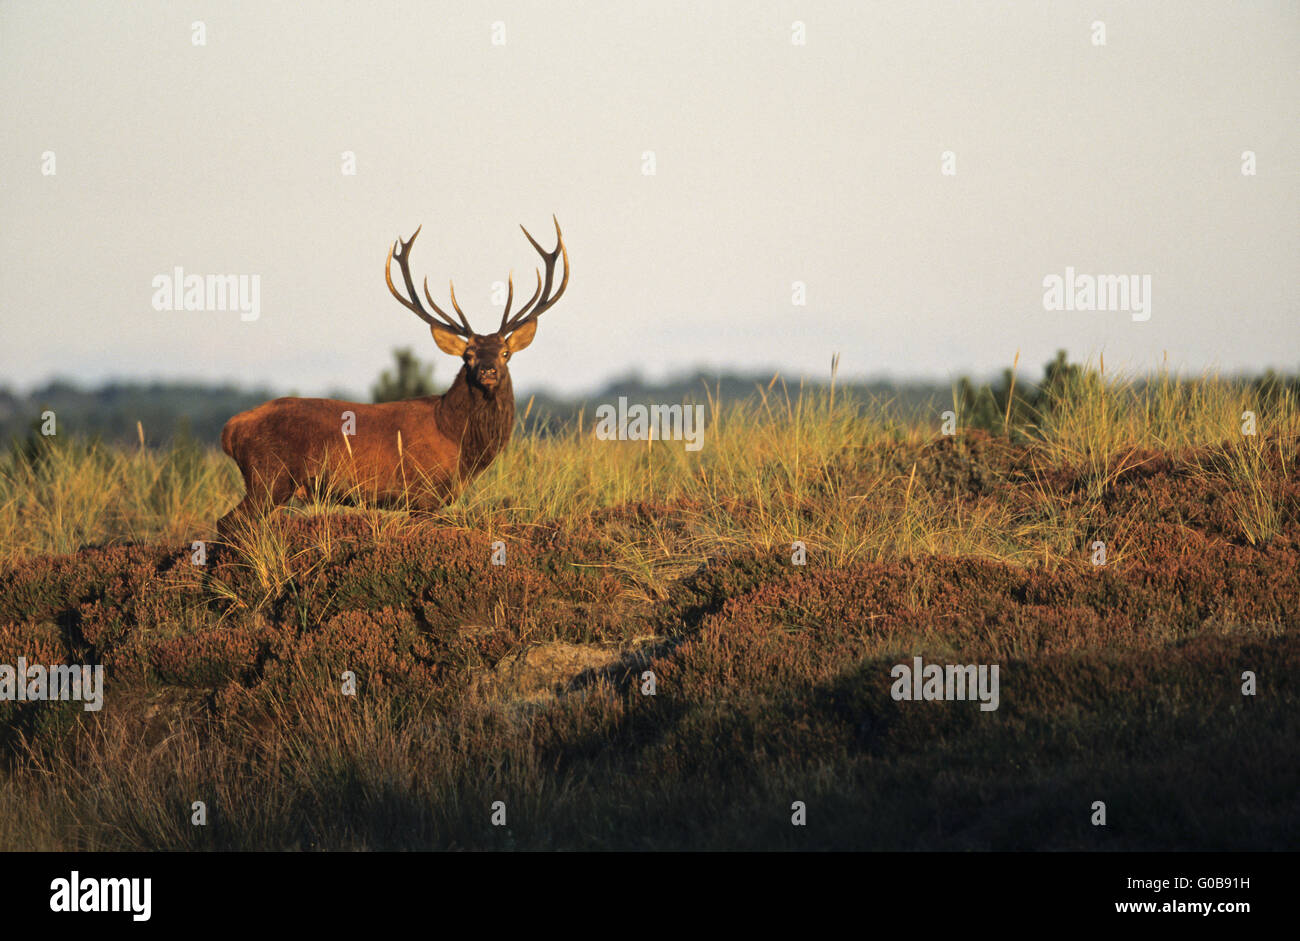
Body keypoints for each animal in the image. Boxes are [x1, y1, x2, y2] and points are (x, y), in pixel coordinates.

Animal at [216, 217, 569, 540]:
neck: (456, 438)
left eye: (505, 353)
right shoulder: (423, 494)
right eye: (467, 354)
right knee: (228, 523)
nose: (488, 370)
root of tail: (230, 430)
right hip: (269, 477)